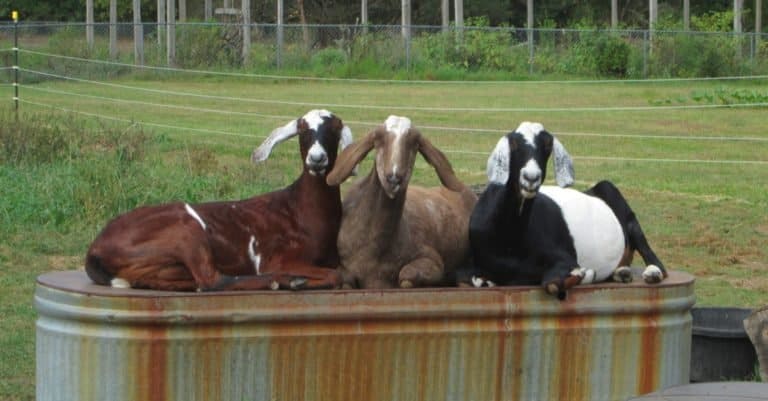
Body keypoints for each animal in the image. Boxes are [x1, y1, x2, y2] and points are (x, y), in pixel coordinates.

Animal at [85, 110, 352, 291]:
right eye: (303, 131)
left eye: (334, 131)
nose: (317, 159)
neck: (299, 208)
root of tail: (95, 248)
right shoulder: (277, 258)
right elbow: (336, 275)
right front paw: (297, 279)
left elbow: (341, 273)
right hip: (186, 231)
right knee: (212, 280)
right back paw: (284, 281)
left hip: (157, 267)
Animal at [326, 115, 477, 289]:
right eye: (378, 137)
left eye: (415, 142)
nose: (393, 178)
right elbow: (345, 280)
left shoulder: (432, 259)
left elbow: (406, 278)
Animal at [468, 122, 667, 299]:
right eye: (514, 144)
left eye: (548, 145)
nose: (531, 177)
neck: (510, 238)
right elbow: (479, 280)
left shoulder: (565, 258)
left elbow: (552, 283)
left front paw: (584, 274)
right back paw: (622, 272)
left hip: (615, 197)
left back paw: (652, 273)